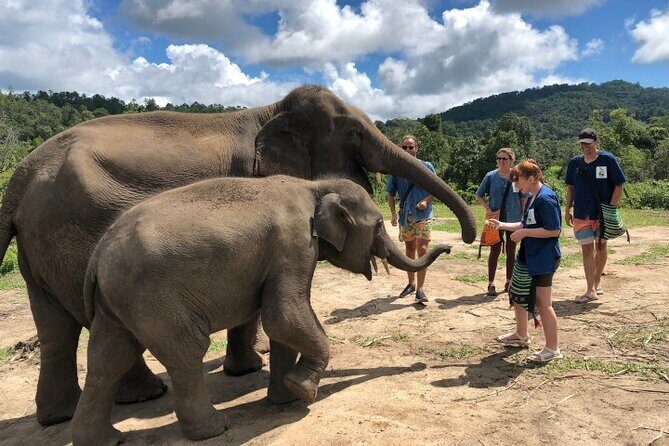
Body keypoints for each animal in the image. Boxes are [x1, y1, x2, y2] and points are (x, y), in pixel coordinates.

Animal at [70, 176, 451, 445]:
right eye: (378, 226)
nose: (447, 247)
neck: (315, 185)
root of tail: (97, 257)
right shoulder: (294, 243)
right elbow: (284, 315)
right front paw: (303, 391)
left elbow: (284, 325)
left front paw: (284, 399)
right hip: (153, 298)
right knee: (185, 350)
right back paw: (215, 429)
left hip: (118, 303)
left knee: (108, 359)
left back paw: (106, 440)